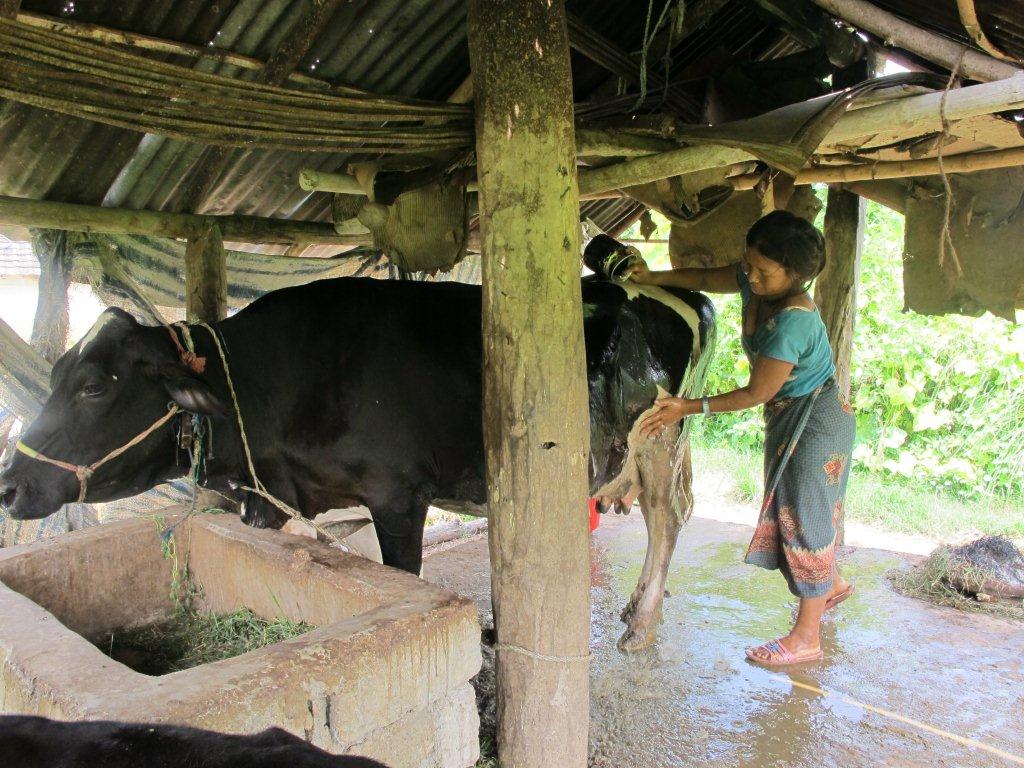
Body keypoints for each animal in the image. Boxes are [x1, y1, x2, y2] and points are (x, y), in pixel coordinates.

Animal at [0, 271, 714, 651]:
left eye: (94, 385)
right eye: (58, 374)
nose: (9, 484)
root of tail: (664, 287)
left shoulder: (398, 495)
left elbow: (402, 574)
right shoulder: (269, 498)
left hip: (659, 436)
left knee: (666, 517)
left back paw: (641, 623)